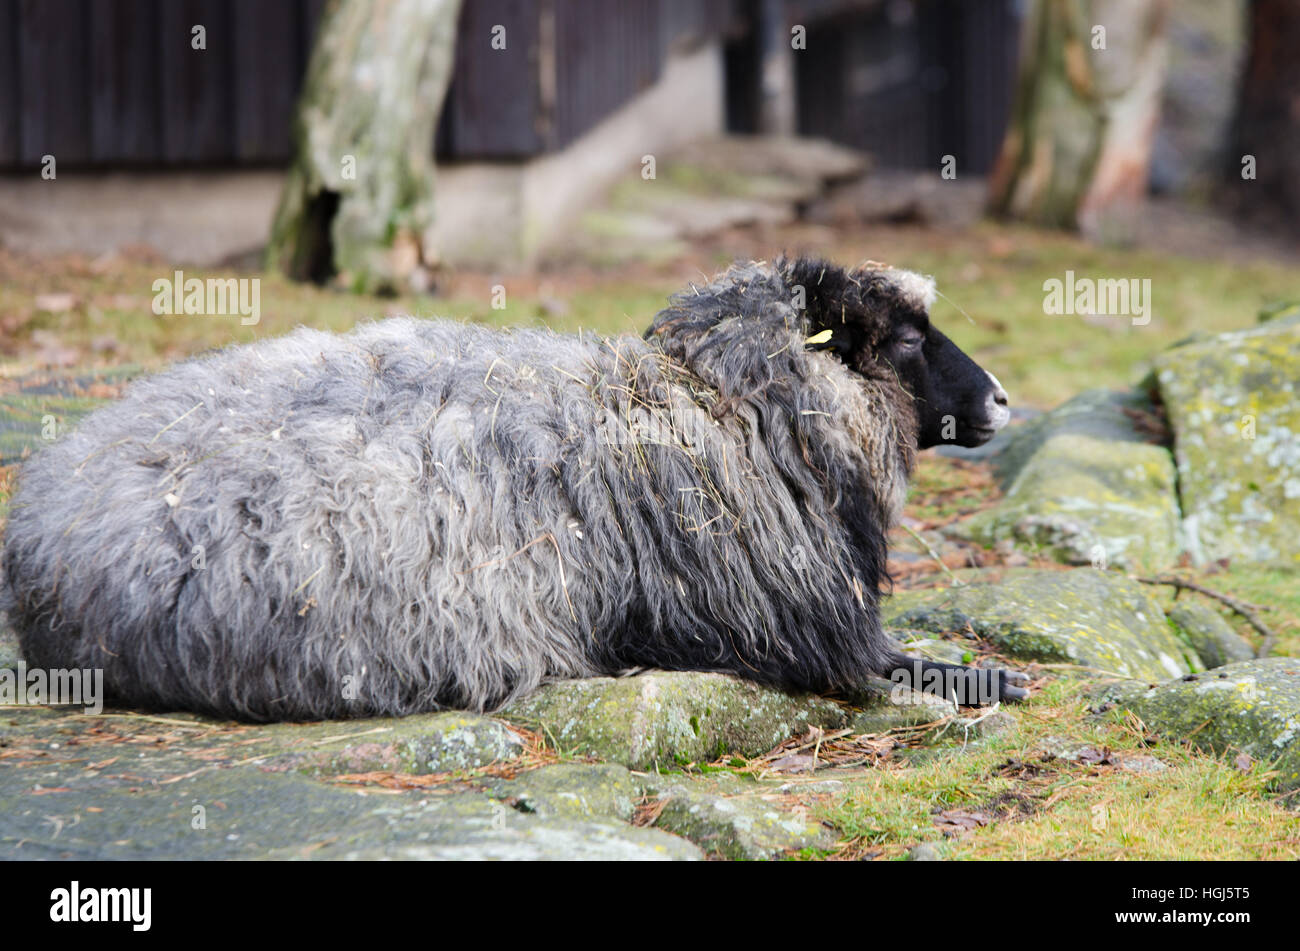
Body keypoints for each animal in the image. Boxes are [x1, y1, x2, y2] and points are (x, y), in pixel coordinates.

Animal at [0, 256, 1027, 722]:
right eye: (906, 339)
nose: (1003, 399)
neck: (719, 403)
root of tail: (40, 521)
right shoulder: (782, 621)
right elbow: (887, 661)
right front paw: (988, 676)